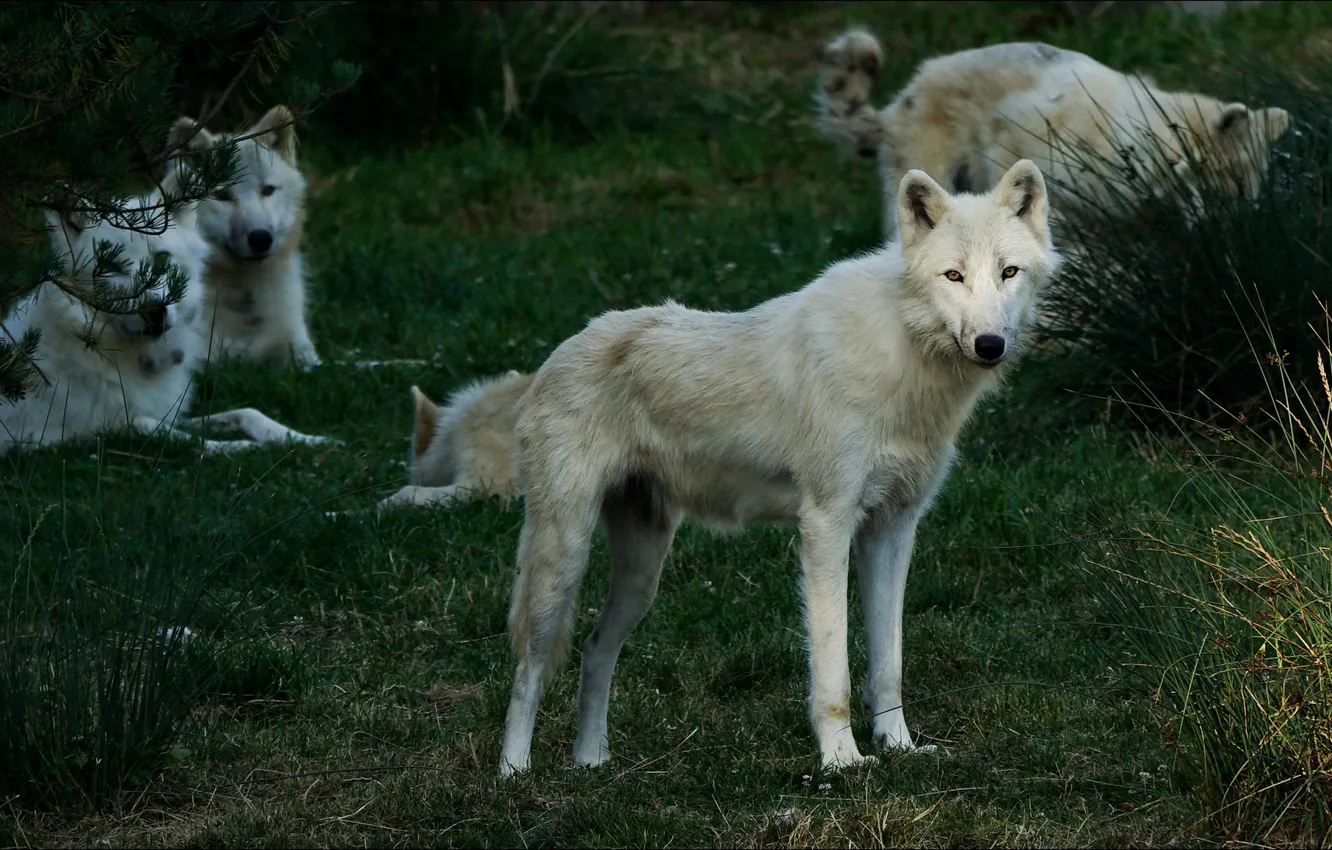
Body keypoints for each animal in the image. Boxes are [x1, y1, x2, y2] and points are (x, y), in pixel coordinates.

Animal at [497, 159, 1061, 776]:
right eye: (953, 276)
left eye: (1008, 272)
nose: (990, 344)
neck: (905, 361)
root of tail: (555, 355)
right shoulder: (826, 525)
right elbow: (834, 670)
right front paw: (842, 760)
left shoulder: (893, 528)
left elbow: (888, 665)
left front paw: (899, 747)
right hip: (564, 557)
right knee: (527, 669)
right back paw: (514, 773)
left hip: (643, 573)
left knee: (595, 649)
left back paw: (592, 761)